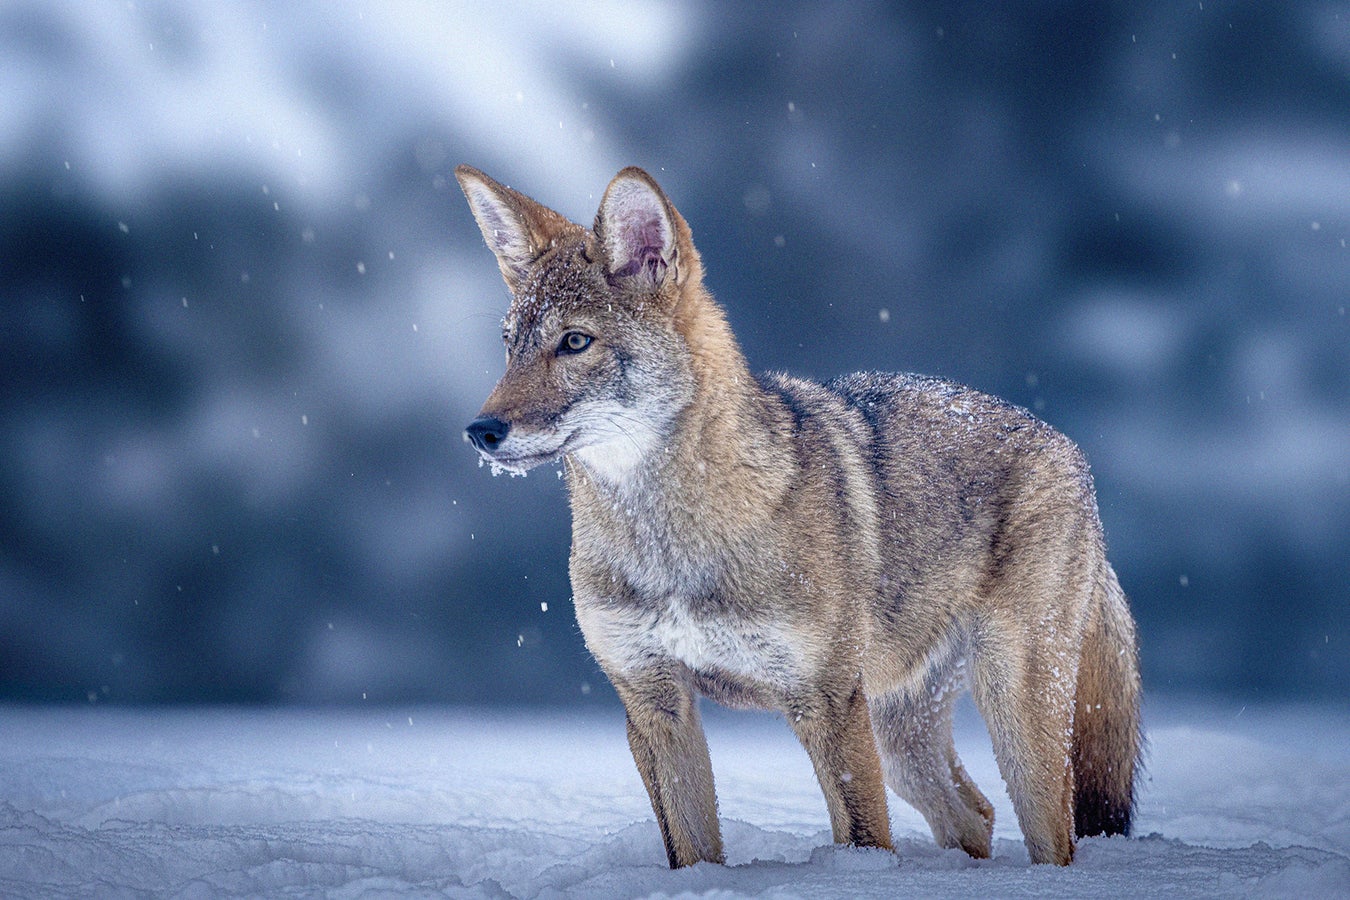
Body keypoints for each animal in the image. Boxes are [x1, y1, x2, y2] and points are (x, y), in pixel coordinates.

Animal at [456, 163, 1142, 868]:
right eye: (509, 348)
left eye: (574, 342)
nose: (480, 431)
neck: (670, 542)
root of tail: (1065, 444)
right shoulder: (654, 702)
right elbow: (692, 851)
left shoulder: (826, 703)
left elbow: (864, 842)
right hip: (902, 736)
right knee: (974, 813)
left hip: (1012, 718)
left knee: (1051, 837)